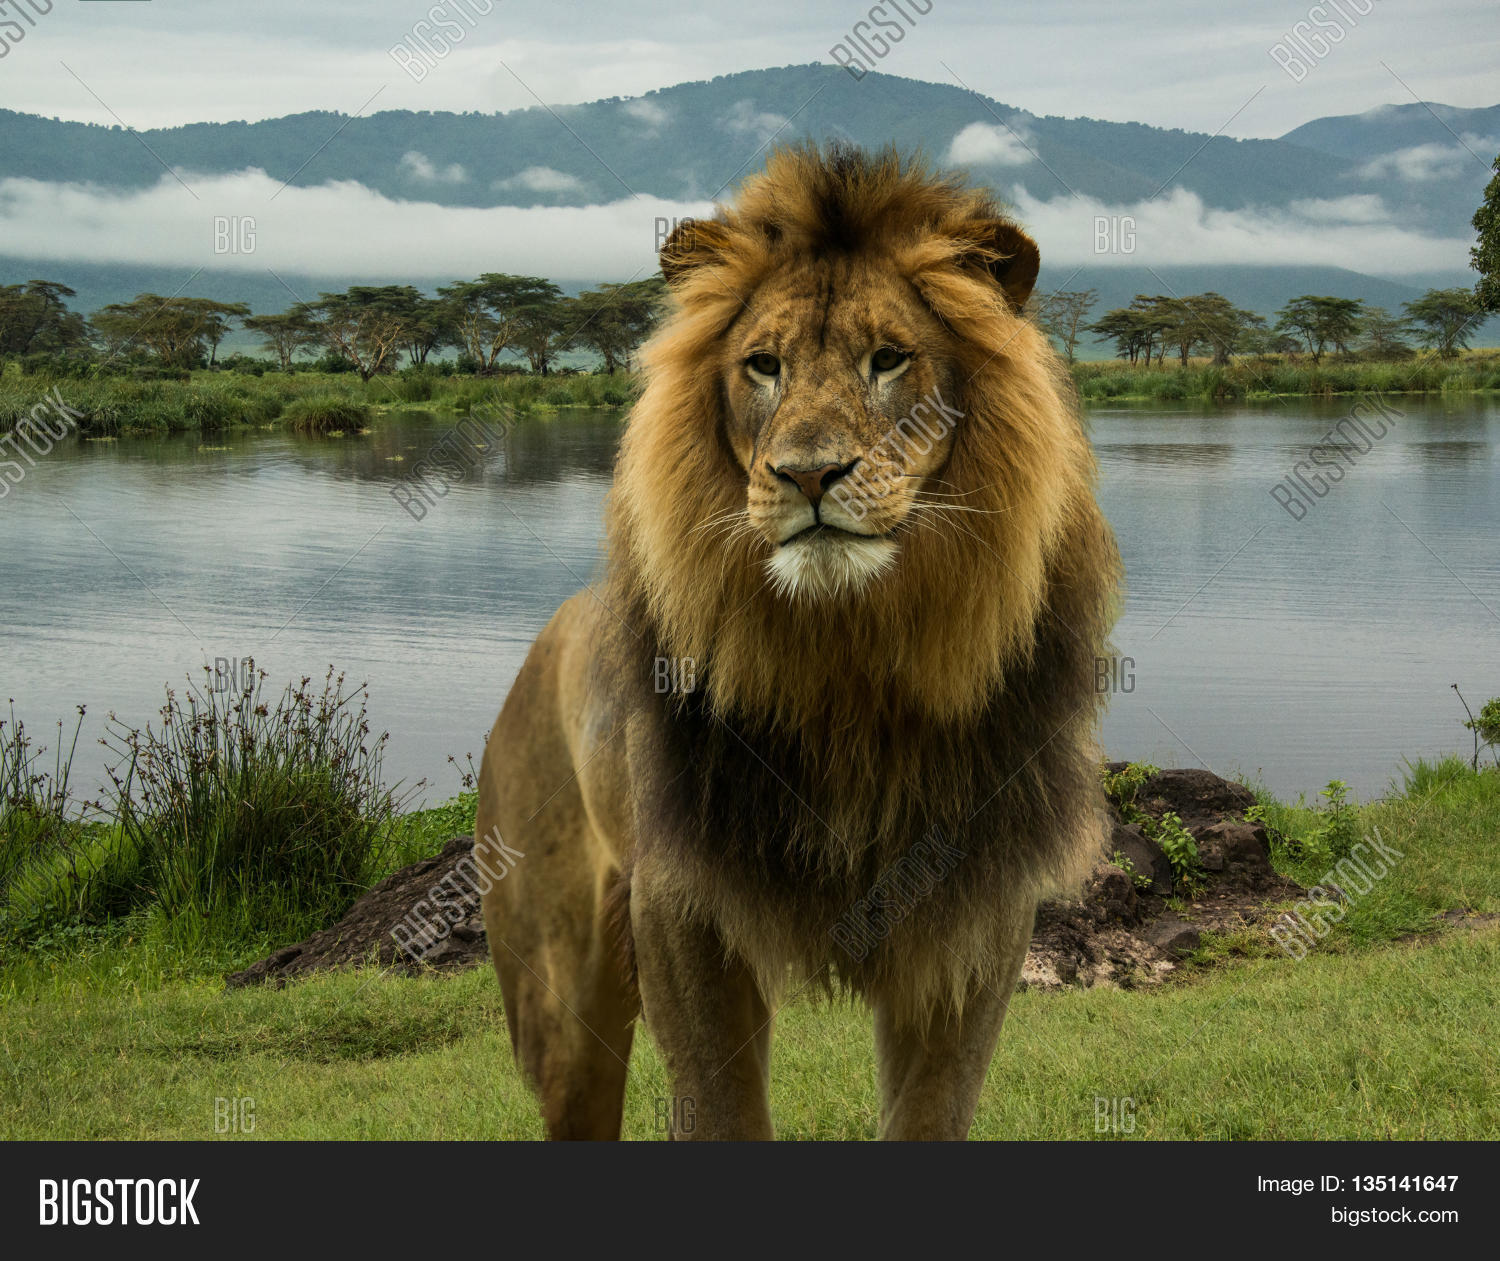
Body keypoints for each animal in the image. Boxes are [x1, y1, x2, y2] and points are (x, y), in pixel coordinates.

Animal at [475, 143, 1122, 1140]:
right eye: (763, 365)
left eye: (889, 359)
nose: (809, 474)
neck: (847, 658)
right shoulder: (683, 903)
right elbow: (721, 1110)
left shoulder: (973, 911)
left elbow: (930, 1112)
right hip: (560, 993)